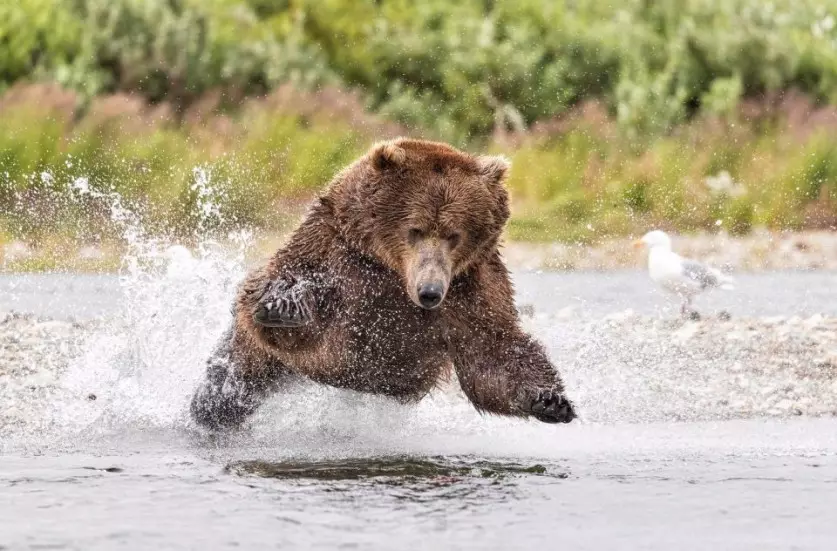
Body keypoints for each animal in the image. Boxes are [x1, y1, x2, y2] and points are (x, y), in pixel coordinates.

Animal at [189, 139, 576, 432]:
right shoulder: (337, 255)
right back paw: (209, 408)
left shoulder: (471, 286)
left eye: (454, 234)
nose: (430, 292)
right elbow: (290, 300)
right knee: (233, 378)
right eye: (415, 229)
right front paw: (284, 306)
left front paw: (550, 399)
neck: (392, 270)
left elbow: (492, 350)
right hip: (254, 356)